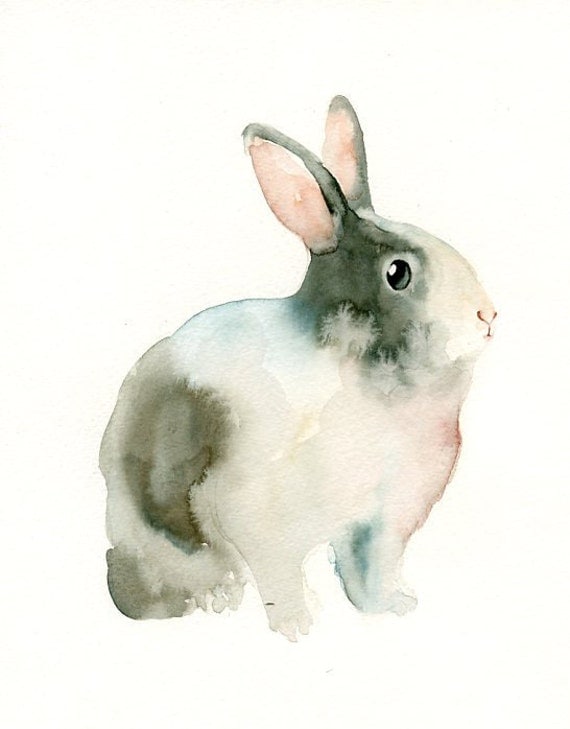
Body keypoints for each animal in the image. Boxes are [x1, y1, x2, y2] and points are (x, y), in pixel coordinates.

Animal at [100, 96, 496, 640]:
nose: (487, 315)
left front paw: (392, 608)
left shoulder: (381, 522)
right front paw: (298, 627)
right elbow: (281, 579)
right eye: (398, 273)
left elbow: (369, 572)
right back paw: (215, 601)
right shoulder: (259, 519)